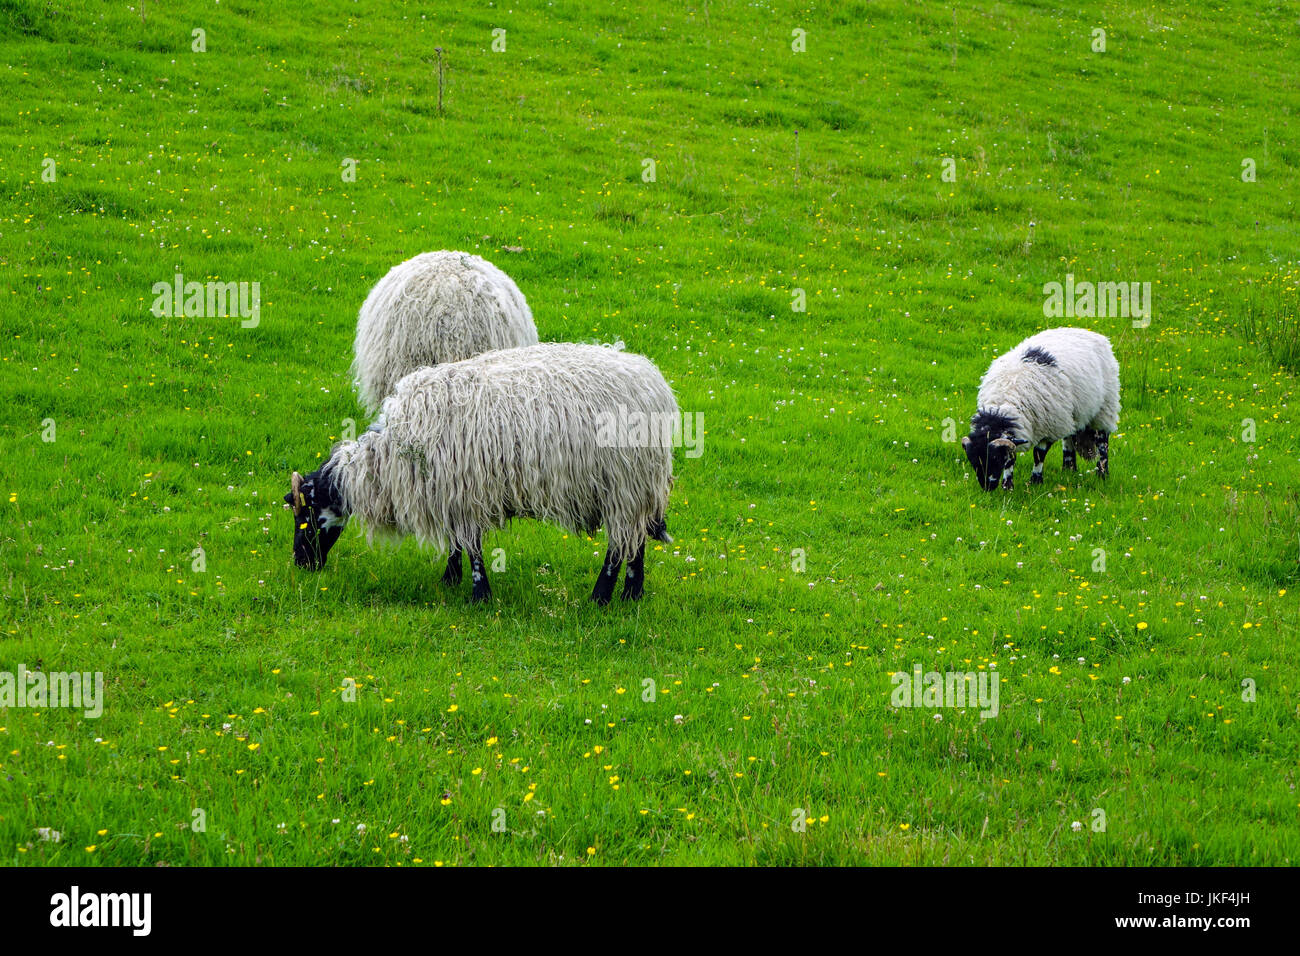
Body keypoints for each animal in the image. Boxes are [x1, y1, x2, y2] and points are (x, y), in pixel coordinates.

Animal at [286, 343, 677, 605]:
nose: (301, 564)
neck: (384, 461)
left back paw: (600, 597)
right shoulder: (452, 493)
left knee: (619, 546)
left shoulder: (462, 492)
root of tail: (653, 385)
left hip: (624, 483)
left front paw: (478, 593)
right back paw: (632, 594)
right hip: (638, 487)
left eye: (305, 518)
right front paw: (450, 579)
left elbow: (471, 546)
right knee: (636, 542)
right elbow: (457, 543)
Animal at [962, 327, 1120, 491]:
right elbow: (1011, 459)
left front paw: (1035, 481)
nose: (987, 487)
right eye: (973, 460)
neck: (1004, 402)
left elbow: (1039, 454)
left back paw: (1102, 473)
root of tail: (1087, 331)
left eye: (995, 458)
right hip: (1071, 413)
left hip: (1105, 406)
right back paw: (1068, 469)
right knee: (1068, 439)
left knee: (1103, 441)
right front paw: (1008, 486)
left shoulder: (1049, 426)